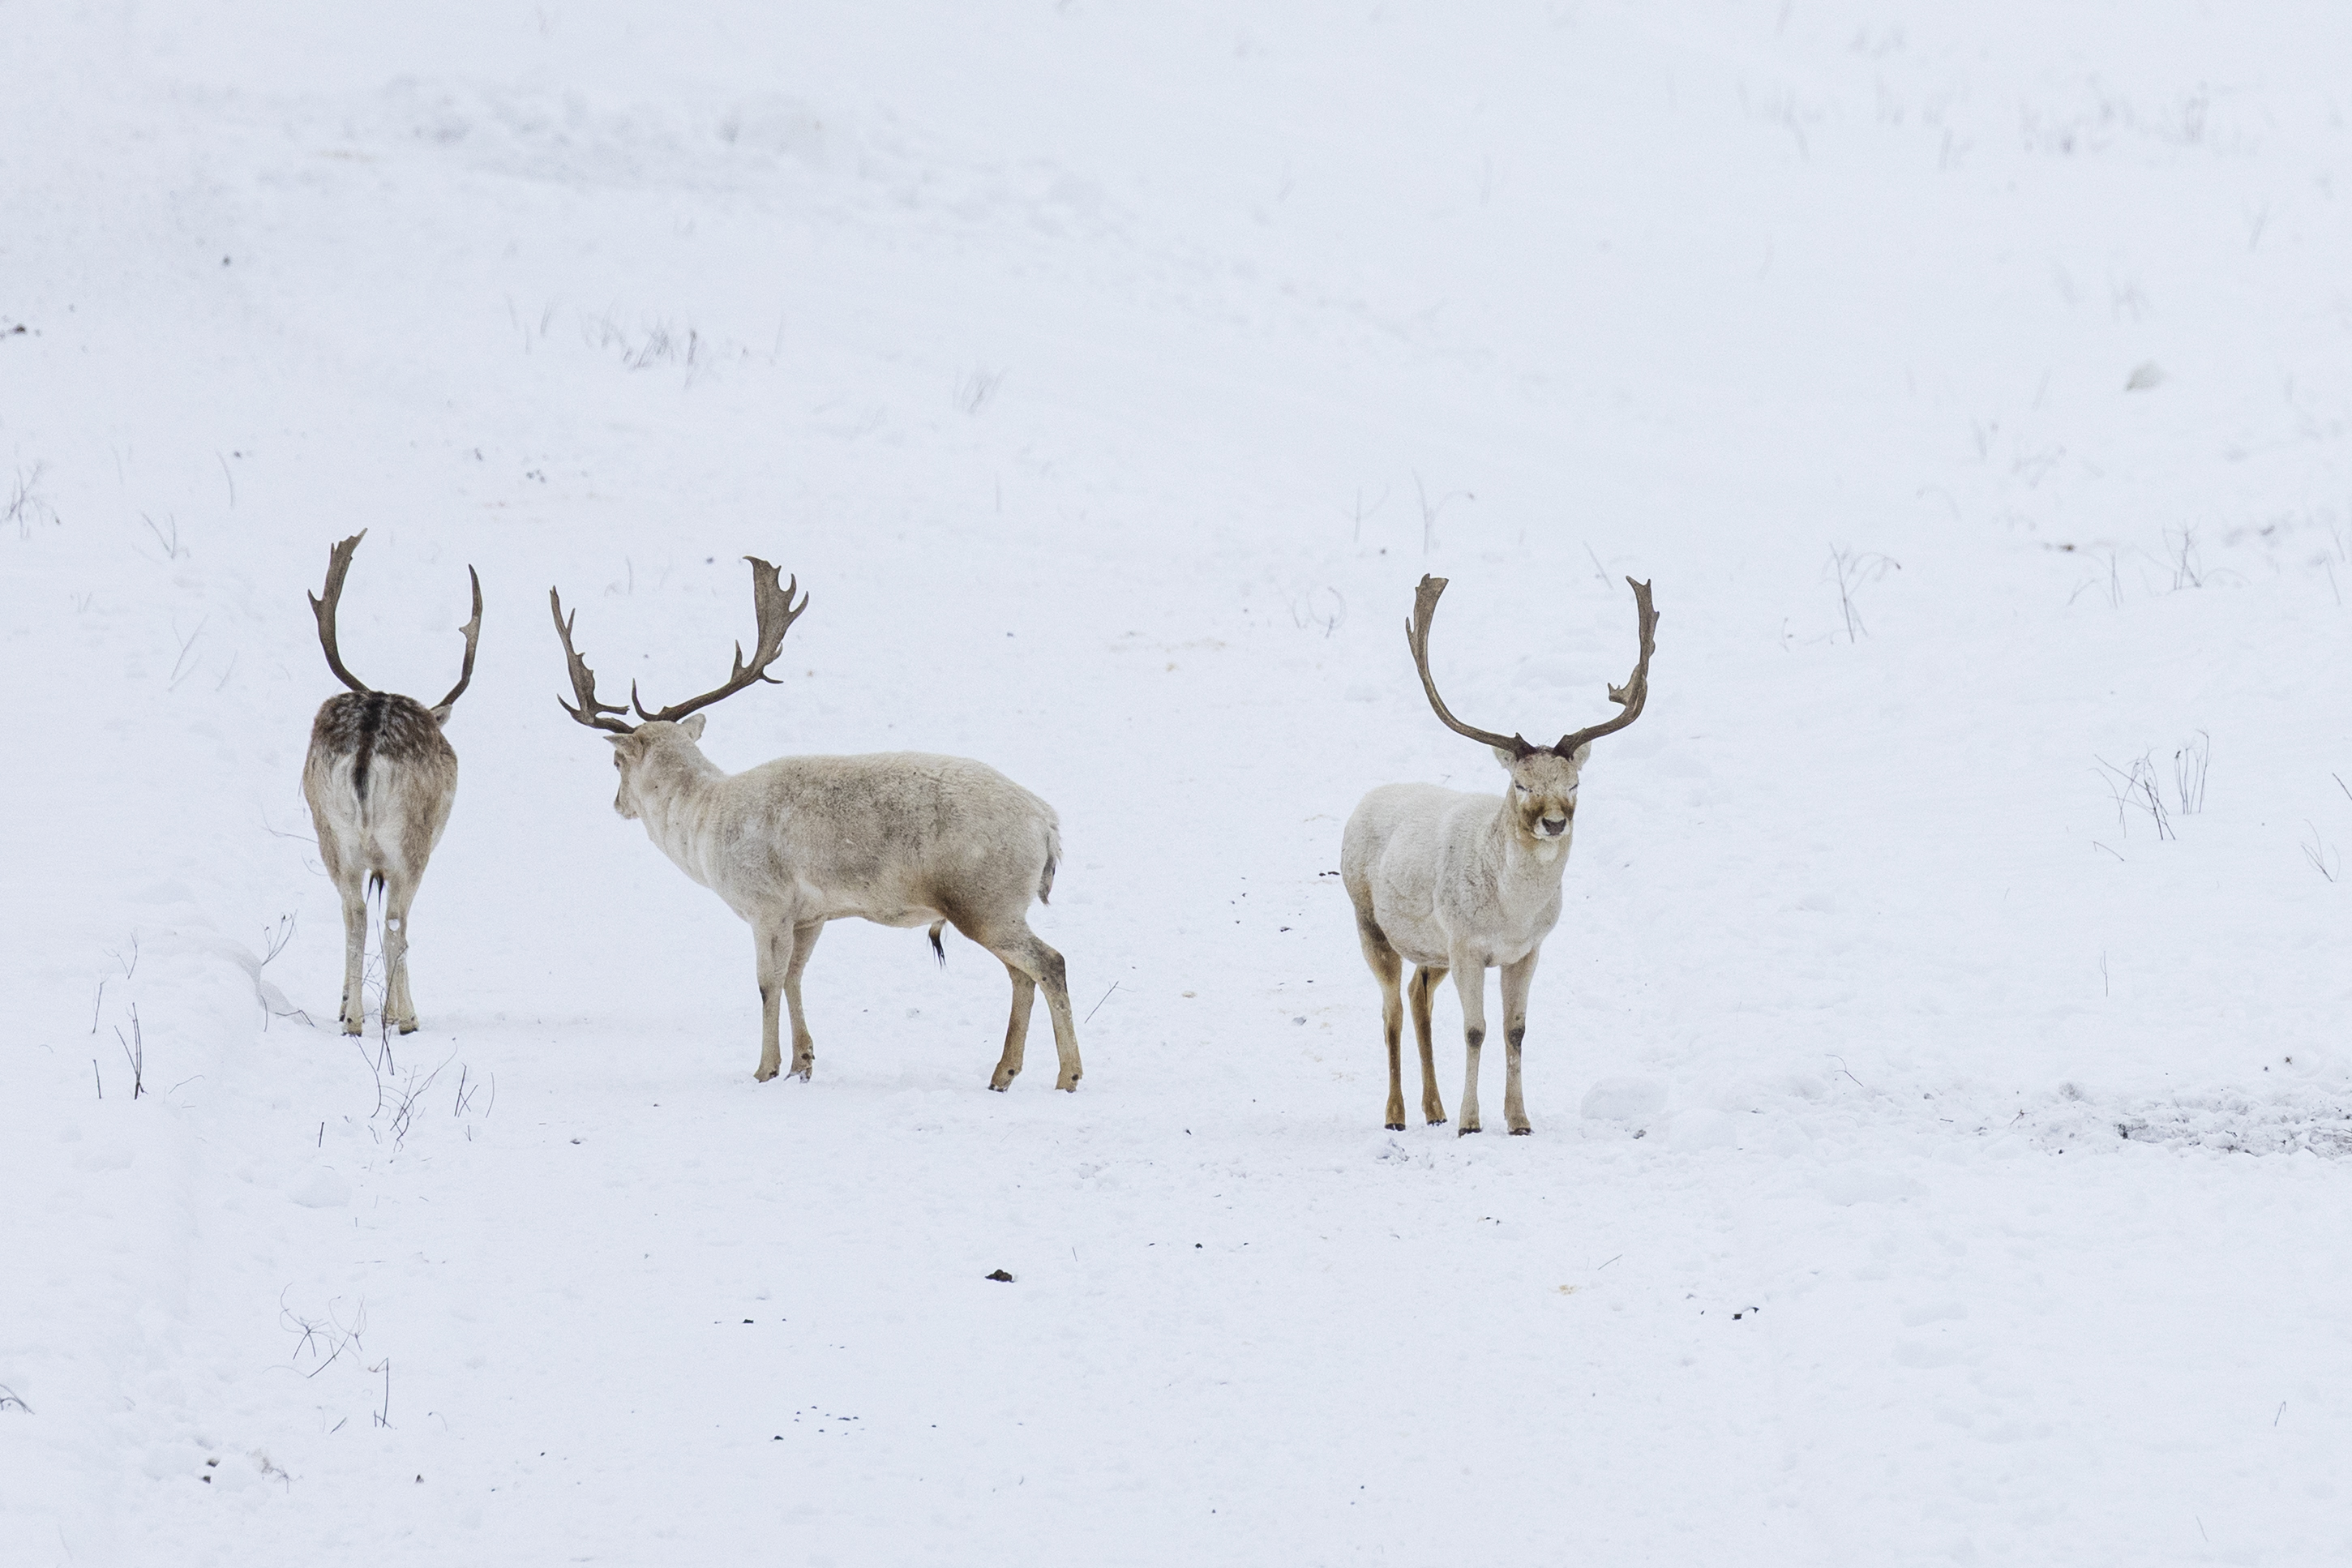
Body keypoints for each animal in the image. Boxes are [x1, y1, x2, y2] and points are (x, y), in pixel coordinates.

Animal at [301, 531, 483, 1035]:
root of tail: (366, 741)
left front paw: (346, 1002)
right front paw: (399, 1014)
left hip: (331, 835)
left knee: (354, 914)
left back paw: (352, 1020)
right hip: (411, 841)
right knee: (396, 921)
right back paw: (399, 1020)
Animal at [549, 558, 1083, 1092]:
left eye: (616, 762)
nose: (618, 804)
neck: (705, 827)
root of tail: (1049, 825)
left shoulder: (765, 904)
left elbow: (766, 983)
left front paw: (764, 1069)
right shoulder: (811, 915)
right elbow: (793, 977)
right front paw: (802, 1064)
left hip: (983, 899)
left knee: (1048, 962)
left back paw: (1067, 1075)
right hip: (998, 905)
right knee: (1021, 973)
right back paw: (1003, 1074)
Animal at [1341, 574, 1656, 1135]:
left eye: (1574, 783)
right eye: (1521, 783)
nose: (1554, 823)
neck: (1513, 913)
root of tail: (1363, 803)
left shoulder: (1527, 950)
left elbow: (1515, 1031)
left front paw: (1519, 1120)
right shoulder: (1467, 945)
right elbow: (1475, 1030)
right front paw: (1472, 1122)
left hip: (1432, 951)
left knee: (1418, 998)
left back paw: (1435, 1110)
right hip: (1369, 923)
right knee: (1391, 1010)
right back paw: (1397, 1115)